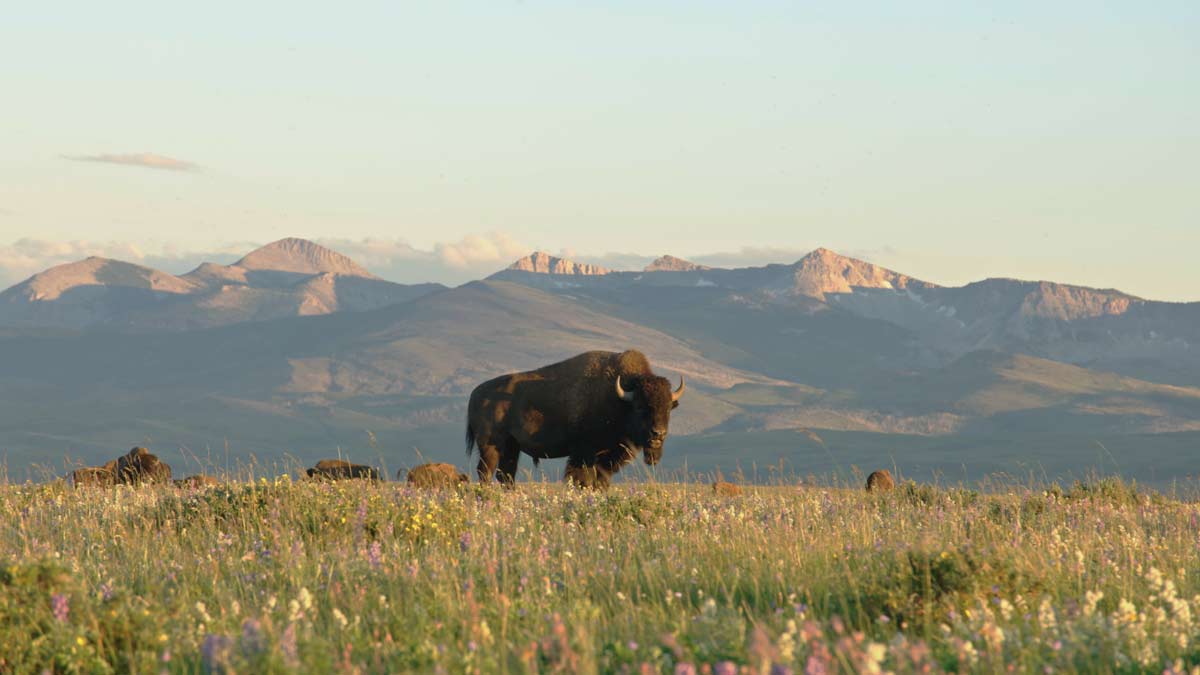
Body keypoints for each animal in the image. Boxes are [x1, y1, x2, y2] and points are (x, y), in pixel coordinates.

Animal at [466, 349, 685, 488]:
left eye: (668, 408)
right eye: (639, 406)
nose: (658, 434)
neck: (619, 399)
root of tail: (476, 393)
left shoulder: (607, 459)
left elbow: (599, 482)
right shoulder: (584, 453)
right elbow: (581, 480)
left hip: (512, 447)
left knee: (506, 475)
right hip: (490, 446)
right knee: (486, 473)